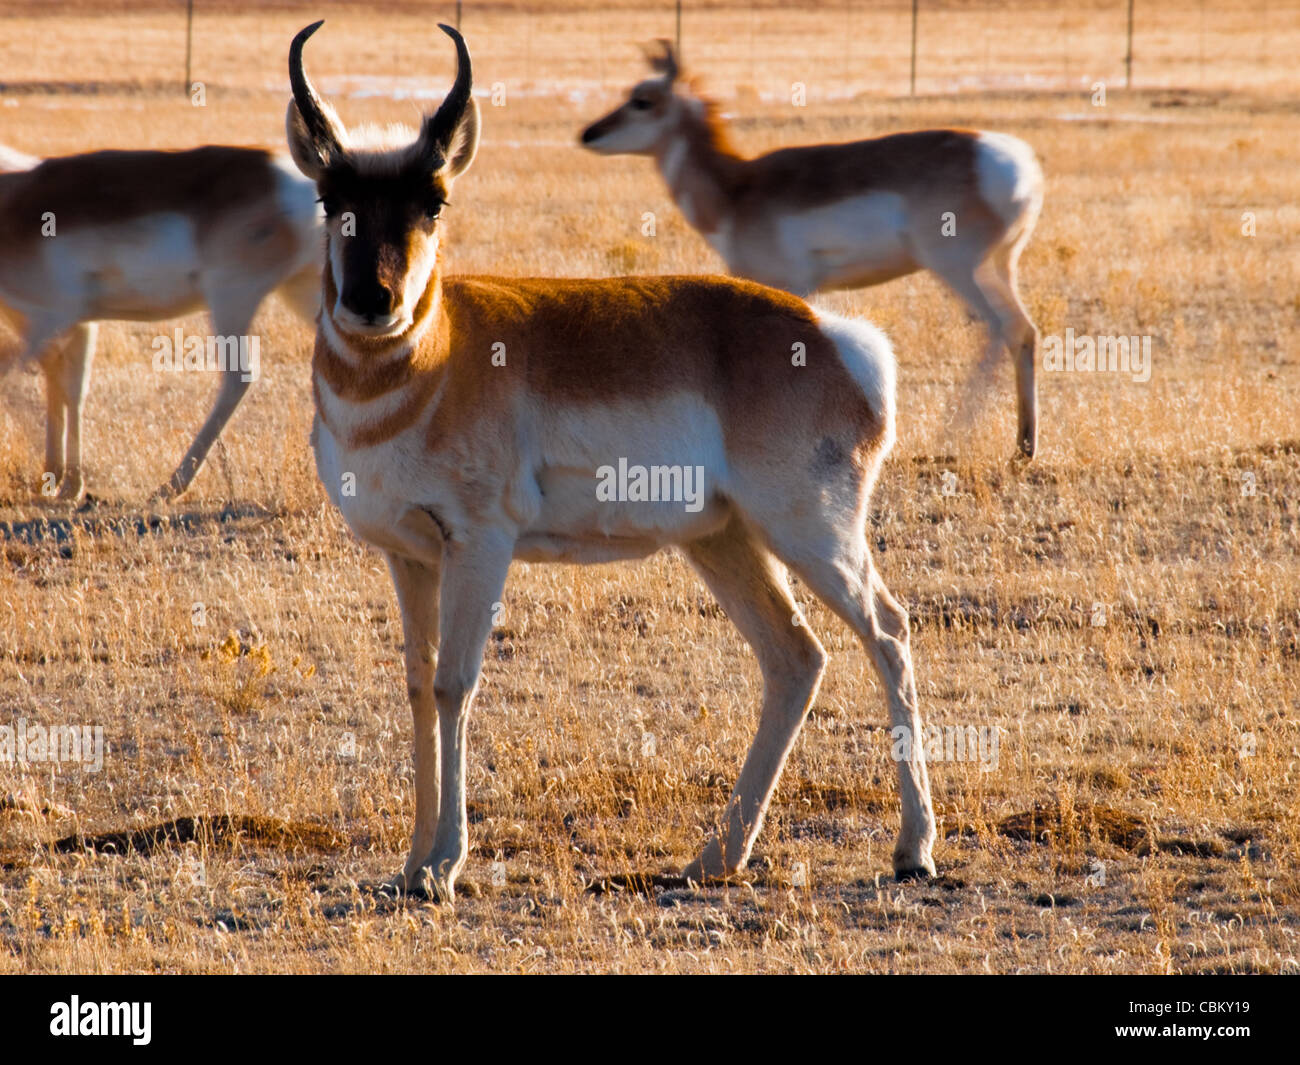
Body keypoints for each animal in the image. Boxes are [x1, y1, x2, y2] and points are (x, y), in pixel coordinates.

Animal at [0, 140, 323, 502]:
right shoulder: (79, 327)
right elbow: (71, 389)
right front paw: (67, 483)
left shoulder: (50, 320)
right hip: (299, 292)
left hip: (232, 298)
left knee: (239, 378)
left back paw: (171, 485)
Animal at [288, 20, 937, 902]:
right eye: (332, 199)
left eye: (433, 199)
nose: (372, 302)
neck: (438, 355)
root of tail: (835, 337)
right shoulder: (410, 555)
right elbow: (419, 686)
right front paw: (410, 863)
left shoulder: (480, 546)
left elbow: (458, 683)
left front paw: (445, 864)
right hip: (723, 542)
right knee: (796, 657)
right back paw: (715, 857)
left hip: (811, 536)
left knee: (889, 631)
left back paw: (913, 849)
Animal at [581, 41, 1045, 459]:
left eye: (642, 100)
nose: (588, 133)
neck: (738, 189)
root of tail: (1016, 162)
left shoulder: (790, 287)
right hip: (999, 268)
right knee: (1024, 331)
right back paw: (1023, 447)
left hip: (956, 269)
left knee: (997, 329)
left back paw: (949, 437)